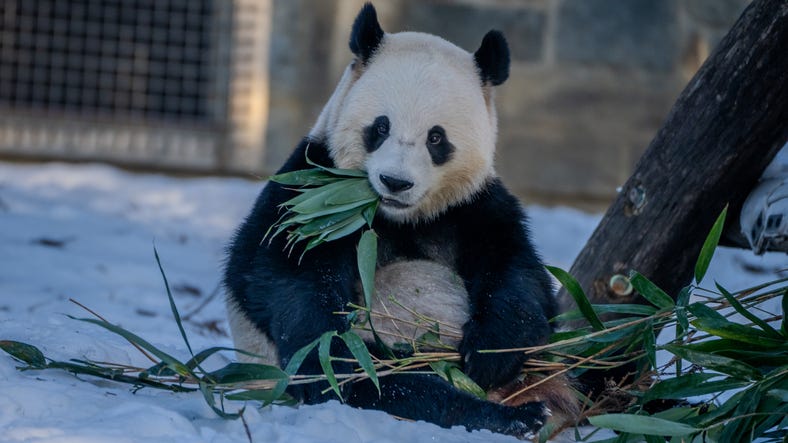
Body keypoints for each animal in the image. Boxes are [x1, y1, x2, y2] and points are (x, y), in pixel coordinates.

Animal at [224, 3, 569, 438]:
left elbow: (521, 279)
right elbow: (304, 311)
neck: (398, 217)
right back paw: (503, 413)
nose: (396, 181)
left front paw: (489, 353)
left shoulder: (474, 207)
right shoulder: (312, 196)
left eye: (436, 138)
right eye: (381, 126)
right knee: (387, 381)